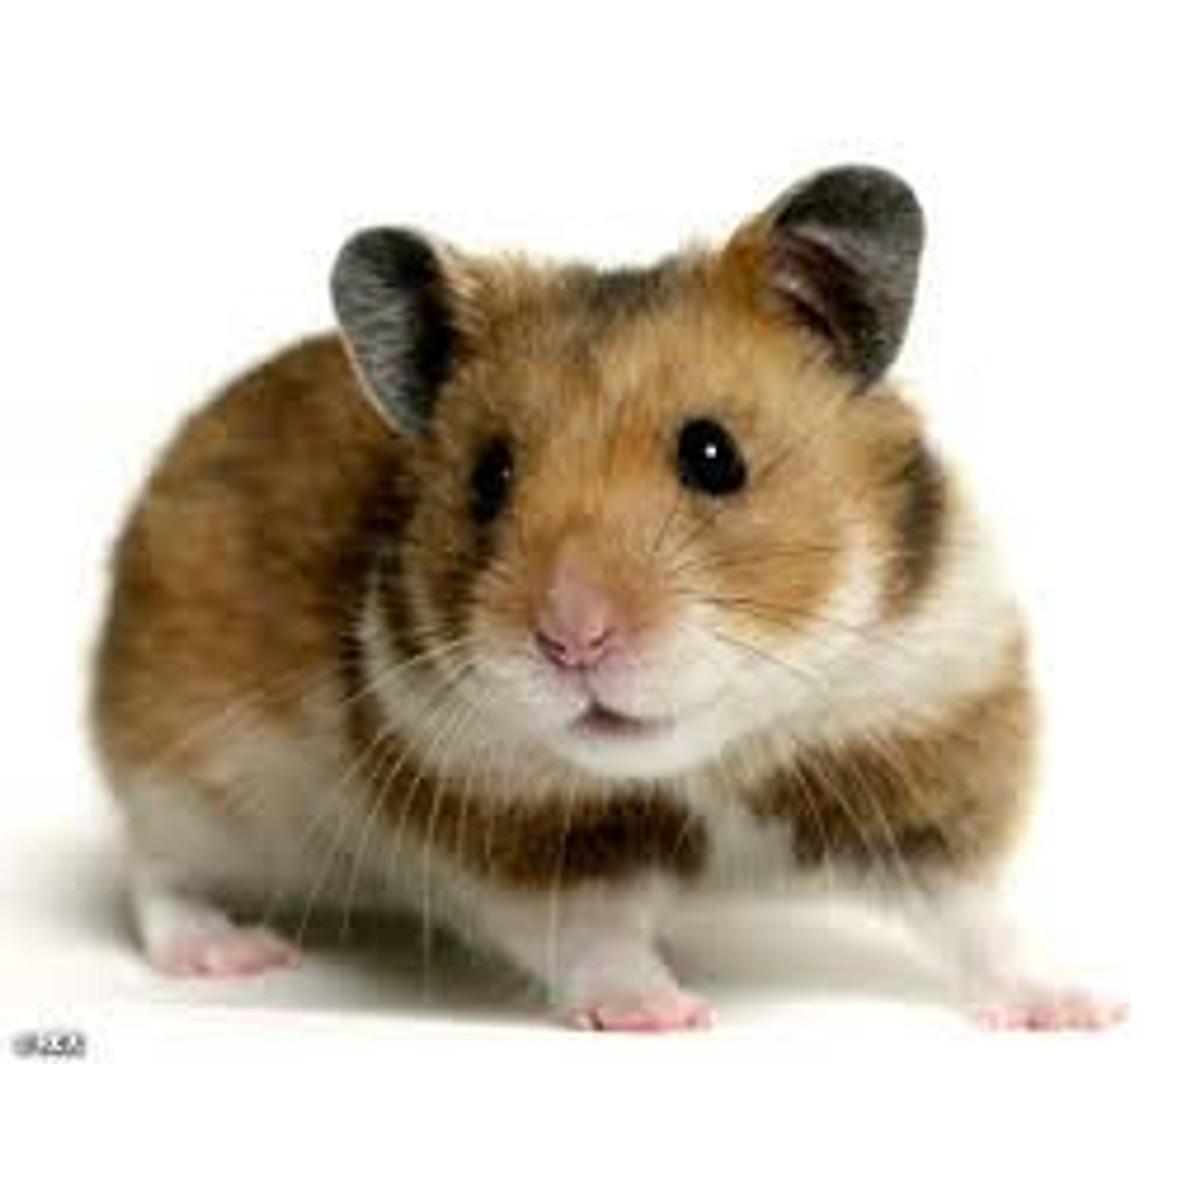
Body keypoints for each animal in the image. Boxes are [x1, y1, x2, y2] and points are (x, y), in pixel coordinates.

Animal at [92, 166, 1125, 1031]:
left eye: (714, 455)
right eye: (489, 478)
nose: (572, 639)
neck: (711, 757)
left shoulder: (921, 746)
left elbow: (983, 916)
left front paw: (1085, 1010)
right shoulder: (520, 833)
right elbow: (593, 935)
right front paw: (665, 1016)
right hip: (183, 766)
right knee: (153, 872)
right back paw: (231, 953)